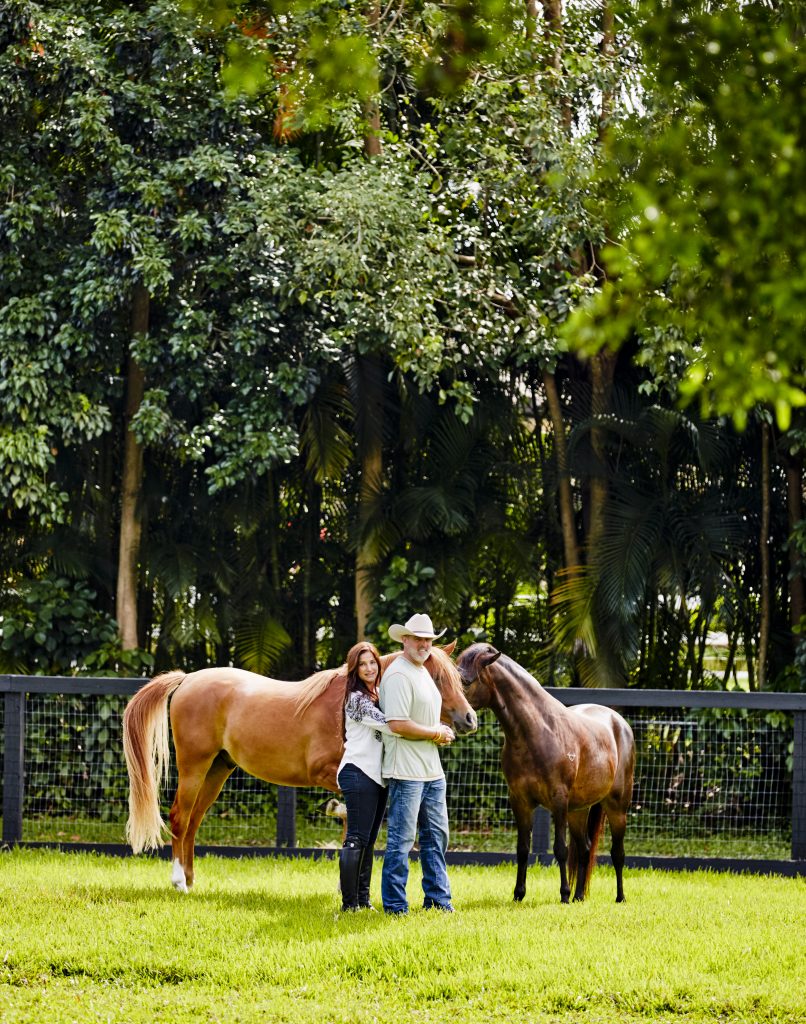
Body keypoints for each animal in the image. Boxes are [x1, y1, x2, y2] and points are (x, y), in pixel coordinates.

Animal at [122, 643, 477, 892]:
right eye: (437, 680)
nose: (470, 718)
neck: (344, 703)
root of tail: (187, 680)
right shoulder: (325, 771)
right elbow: (347, 815)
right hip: (194, 766)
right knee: (180, 817)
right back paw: (178, 882)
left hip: (218, 769)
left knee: (194, 821)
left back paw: (191, 879)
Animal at [456, 643, 635, 904]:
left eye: (466, 681)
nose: (464, 719)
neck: (537, 731)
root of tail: (619, 722)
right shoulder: (520, 801)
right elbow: (522, 849)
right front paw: (518, 894)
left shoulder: (558, 799)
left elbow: (560, 849)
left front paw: (563, 894)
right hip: (578, 811)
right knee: (584, 850)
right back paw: (579, 897)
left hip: (616, 806)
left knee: (617, 853)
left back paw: (619, 897)